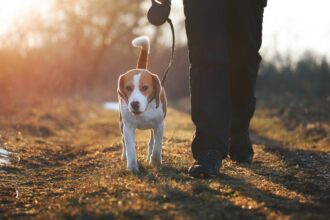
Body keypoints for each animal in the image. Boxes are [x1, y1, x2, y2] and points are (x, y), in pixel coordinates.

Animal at [117, 35, 166, 172]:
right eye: (128, 88)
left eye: (144, 88)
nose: (134, 104)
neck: (145, 111)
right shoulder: (128, 128)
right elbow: (130, 148)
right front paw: (133, 167)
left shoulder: (159, 125)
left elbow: (157, 146)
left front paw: (155, 162)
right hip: (121, 124)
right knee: (123, 142)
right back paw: (124, 156)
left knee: (151, 142)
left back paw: (150, 158)